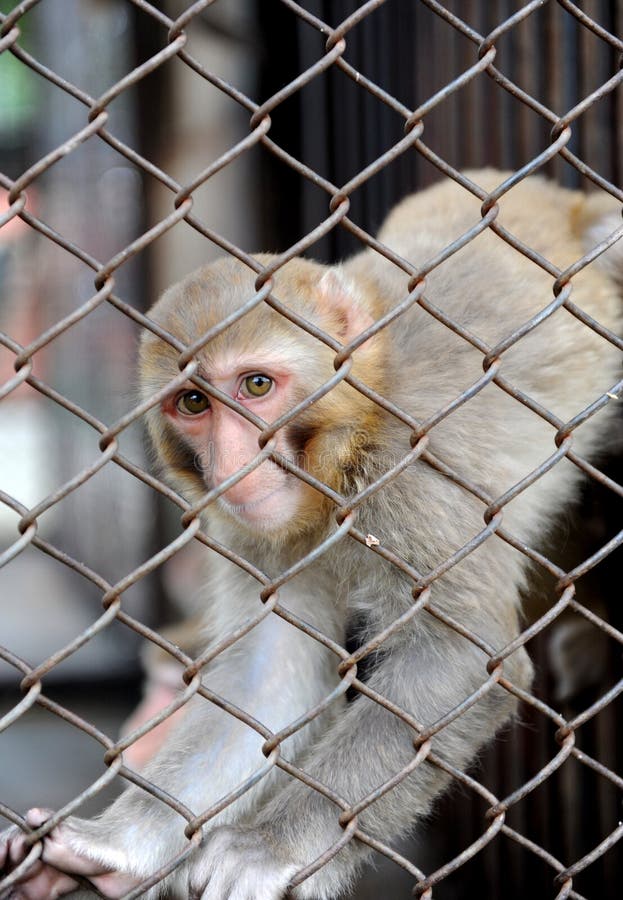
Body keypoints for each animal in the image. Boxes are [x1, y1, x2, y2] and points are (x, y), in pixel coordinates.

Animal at [2, 169, 622, 900]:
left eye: (256, 385)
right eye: (194, 403)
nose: (234, 464)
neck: (343, 451)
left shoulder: (410, 470)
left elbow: (459, 656)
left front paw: (267, 848)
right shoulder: (250, 529)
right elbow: (269, 679)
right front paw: (114, 847)